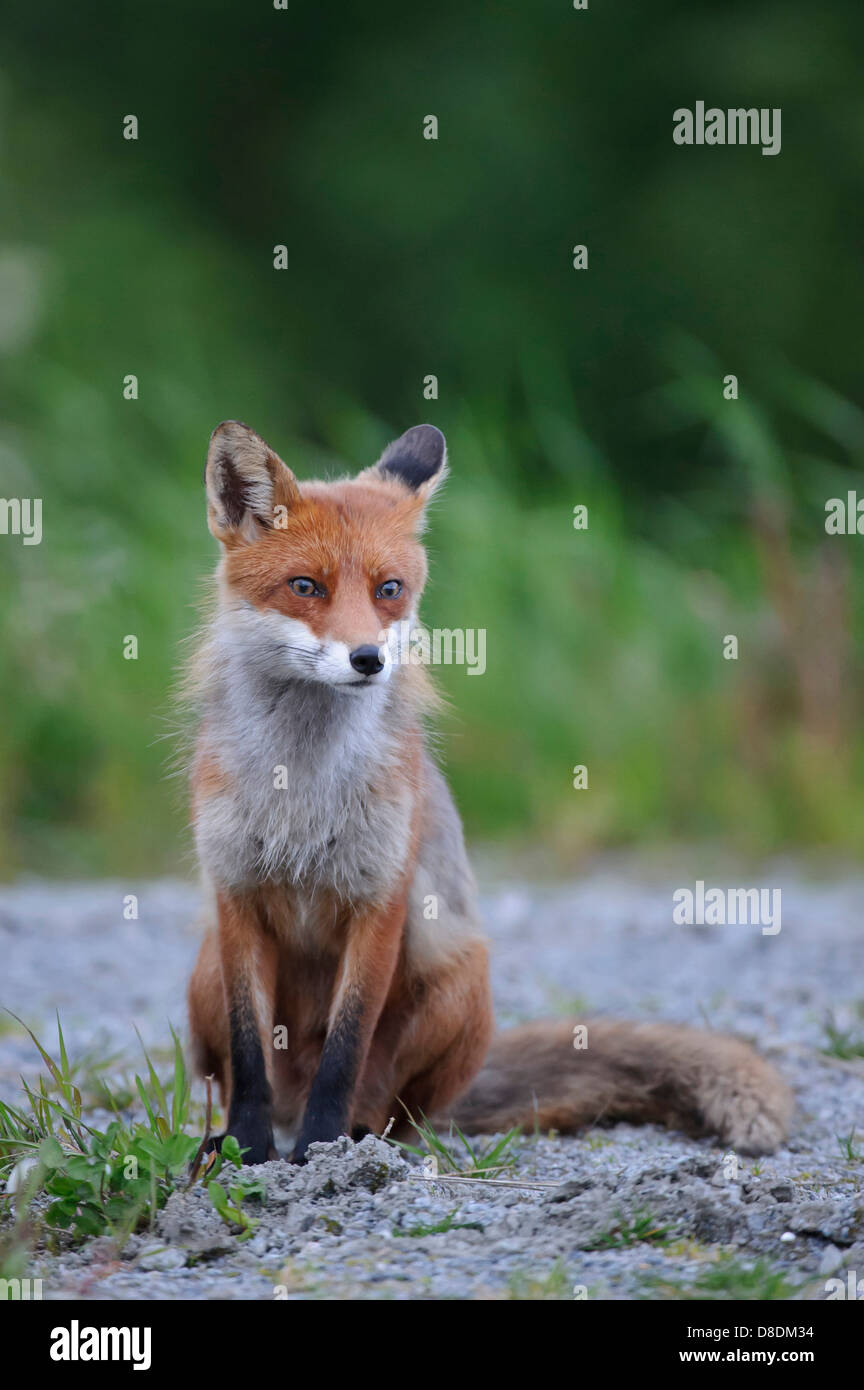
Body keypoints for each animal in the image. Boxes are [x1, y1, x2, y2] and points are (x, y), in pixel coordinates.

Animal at [186, 418, 793, 1165]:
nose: (368, 659)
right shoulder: (235, 892)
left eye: (389, 589)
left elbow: (347, 1048)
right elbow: (249, 1054)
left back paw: (359, 1138)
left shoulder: (381, 897)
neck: (298, 785)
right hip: (203, 970)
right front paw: (245, 1148)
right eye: (306, 585)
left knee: (392, 1106)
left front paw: (323, 1150)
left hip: (463, 981)